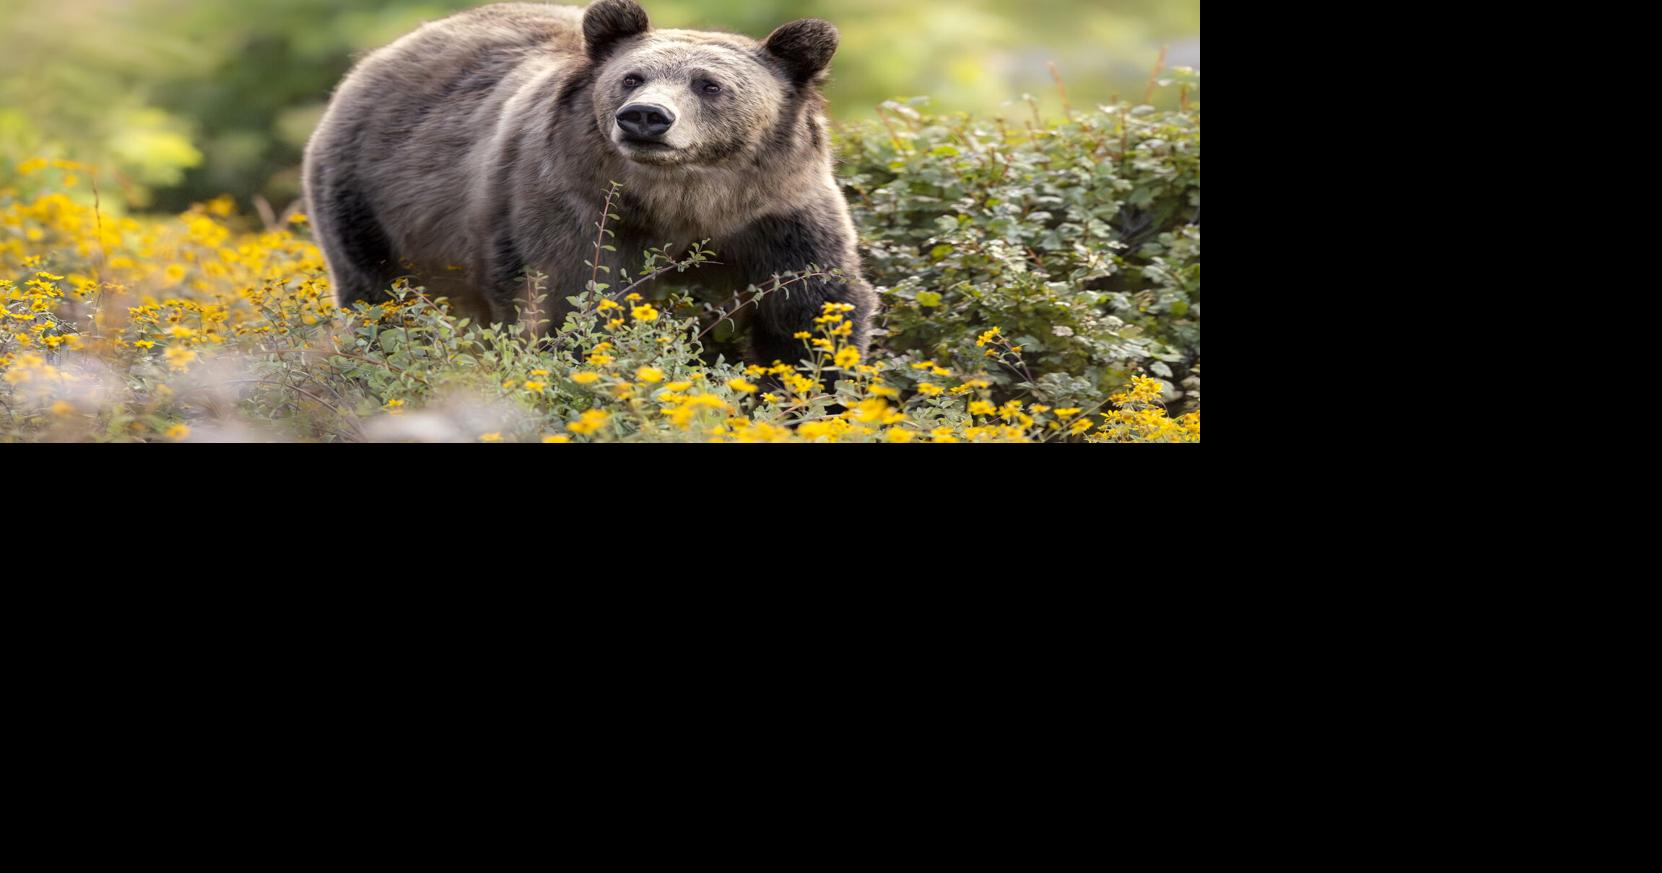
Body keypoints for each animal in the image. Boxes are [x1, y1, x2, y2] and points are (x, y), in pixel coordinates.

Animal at [302, 0, 877, 368]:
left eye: (709, 85)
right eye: (631, 77)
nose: (645, 117)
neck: (682, 198)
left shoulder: (777, 211)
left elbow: (811, 306)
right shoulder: (572, 203)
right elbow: (569, 297)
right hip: (367, 199)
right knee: (376, 292)